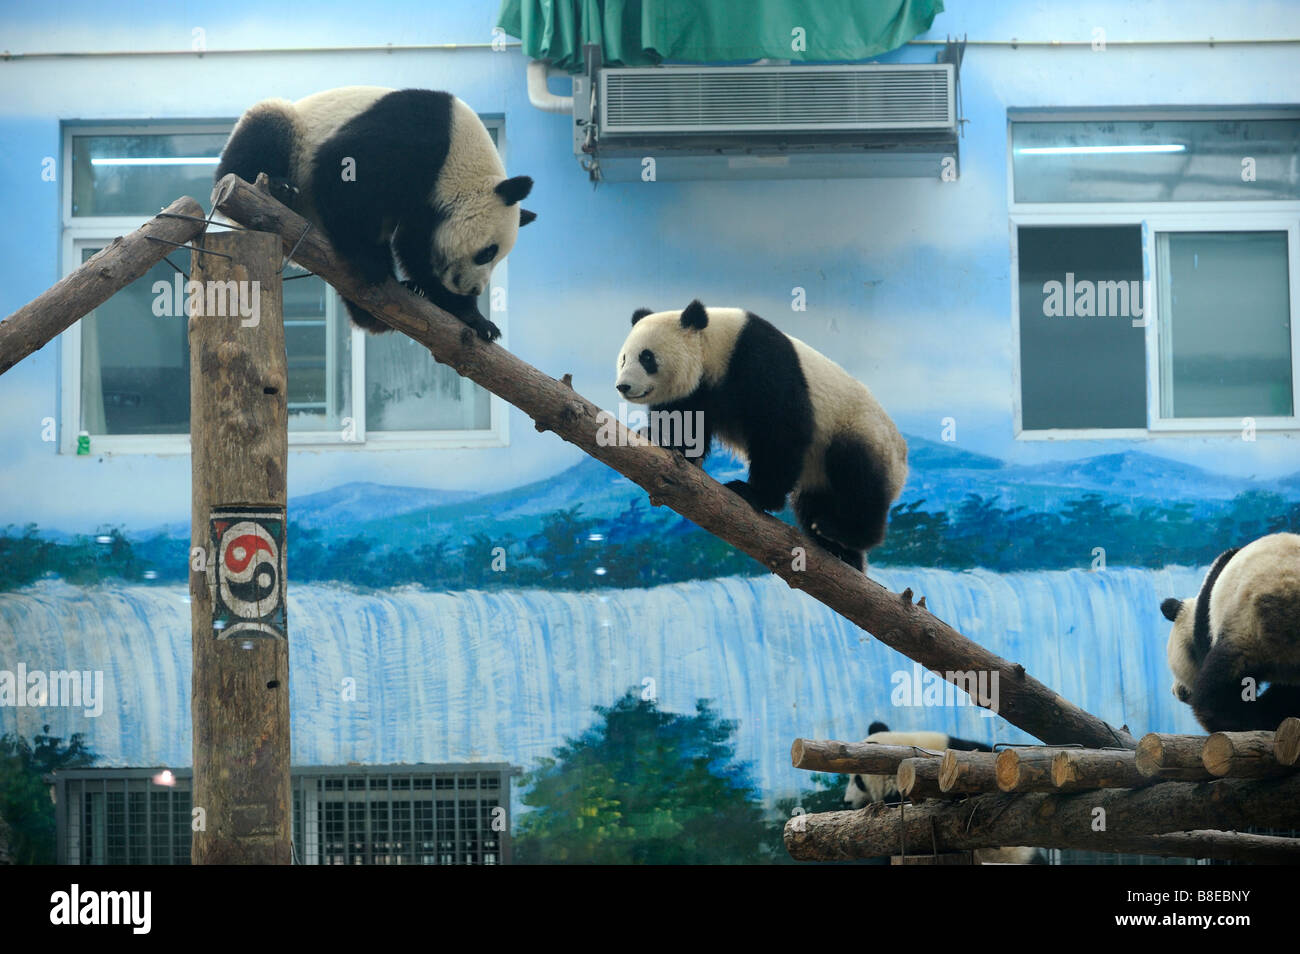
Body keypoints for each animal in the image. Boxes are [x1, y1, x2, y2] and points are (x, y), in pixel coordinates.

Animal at [215, 86, 535, 341]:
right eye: (487, 253)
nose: (474, 290)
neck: (460, 161)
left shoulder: (426, 202)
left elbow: (416, 247)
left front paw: (473, 318)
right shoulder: (419, 136)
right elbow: (342, 164)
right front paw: (370, 261)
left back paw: (376, 310)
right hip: (292, 131)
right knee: (262, 131)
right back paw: (279, 188)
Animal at [613, 300, 908, 571]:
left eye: (647, 358)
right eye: (624, 358)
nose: (623, 386)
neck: (715, 347)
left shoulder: (759, 359)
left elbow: (782, 430)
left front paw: (753, 493)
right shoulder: (695, 392)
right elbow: (686, 425)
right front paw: (659, 438)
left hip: (859, 429)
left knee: (857, 477)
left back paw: (843, 531)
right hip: (818, 473)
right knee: (813, 500)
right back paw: (842, 553)